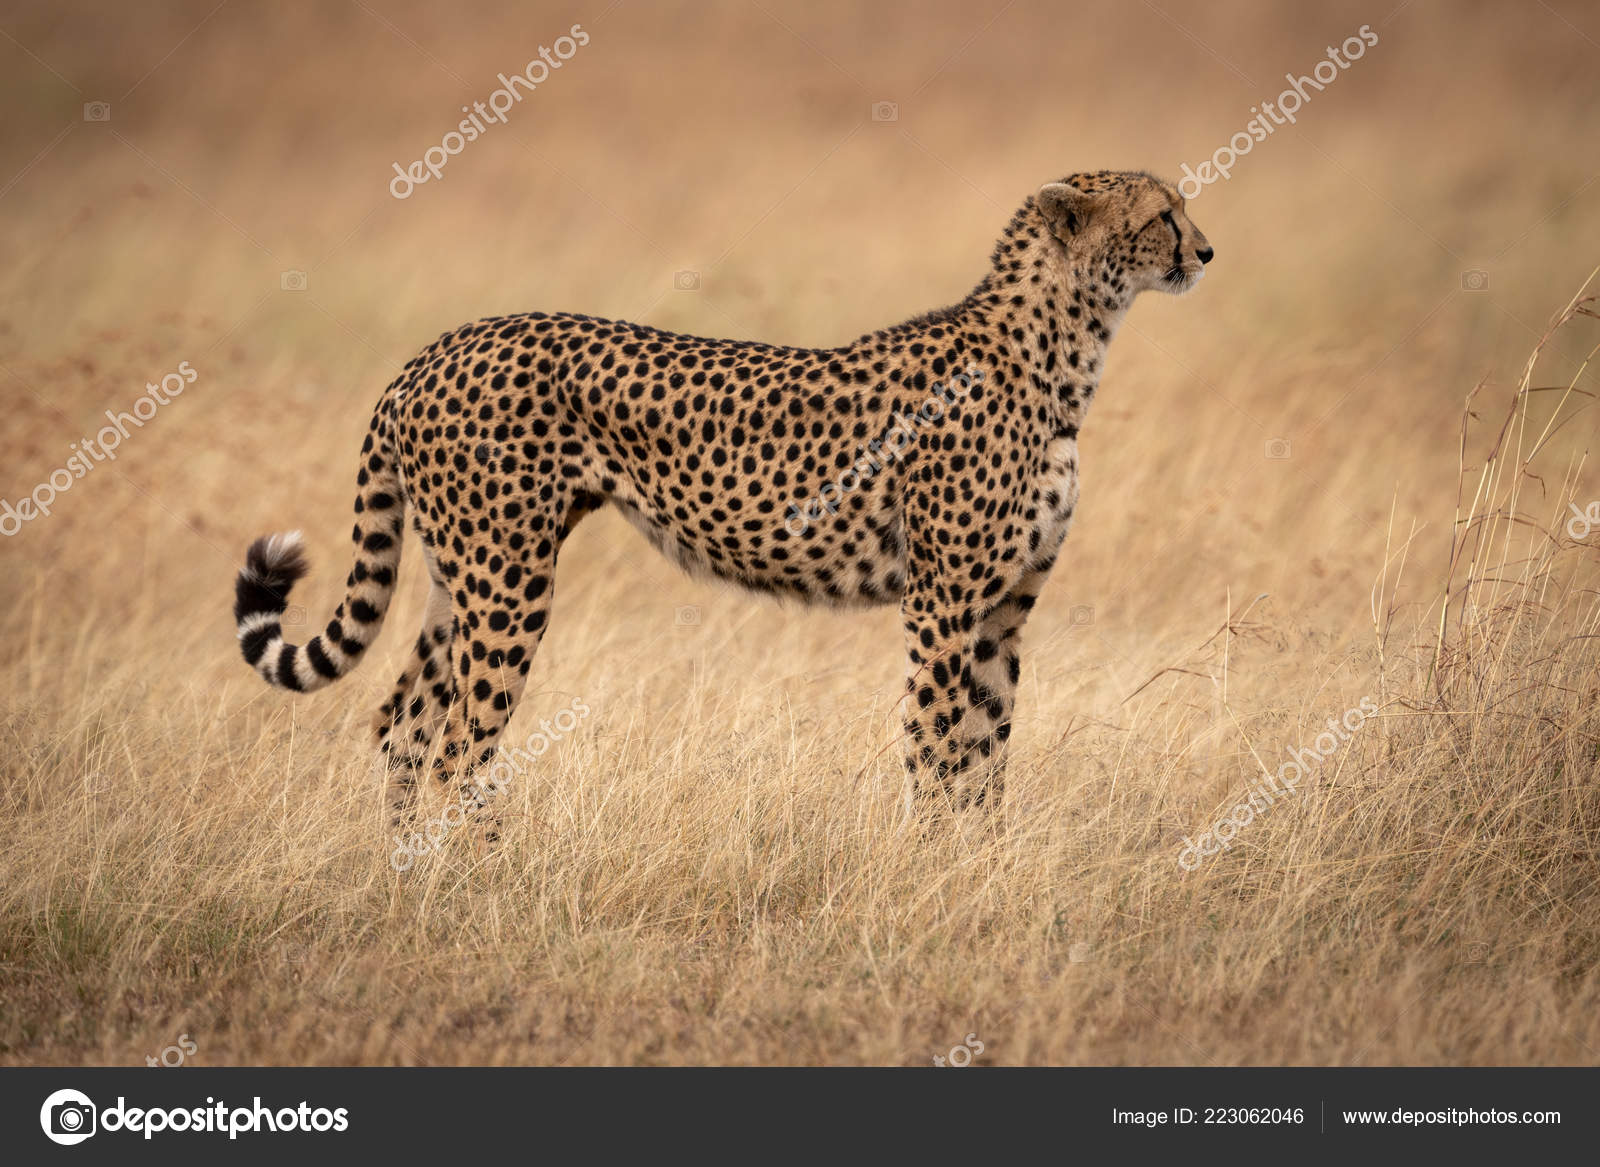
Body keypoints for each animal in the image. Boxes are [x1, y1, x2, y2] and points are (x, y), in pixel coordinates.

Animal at [232, 169, 1212, 832]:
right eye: (1161, 213)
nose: (1206, 250)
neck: (1059, 351)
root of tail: (436, 347)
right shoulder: (943, 602)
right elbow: (935, 745)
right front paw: (930, 860)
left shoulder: (1006, 607)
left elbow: (989, 754)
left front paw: (983, 859)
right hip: (507, 582)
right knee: (459, 748)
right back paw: (483, 873)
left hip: (458, 579)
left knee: (401, 727)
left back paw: (407, 868)